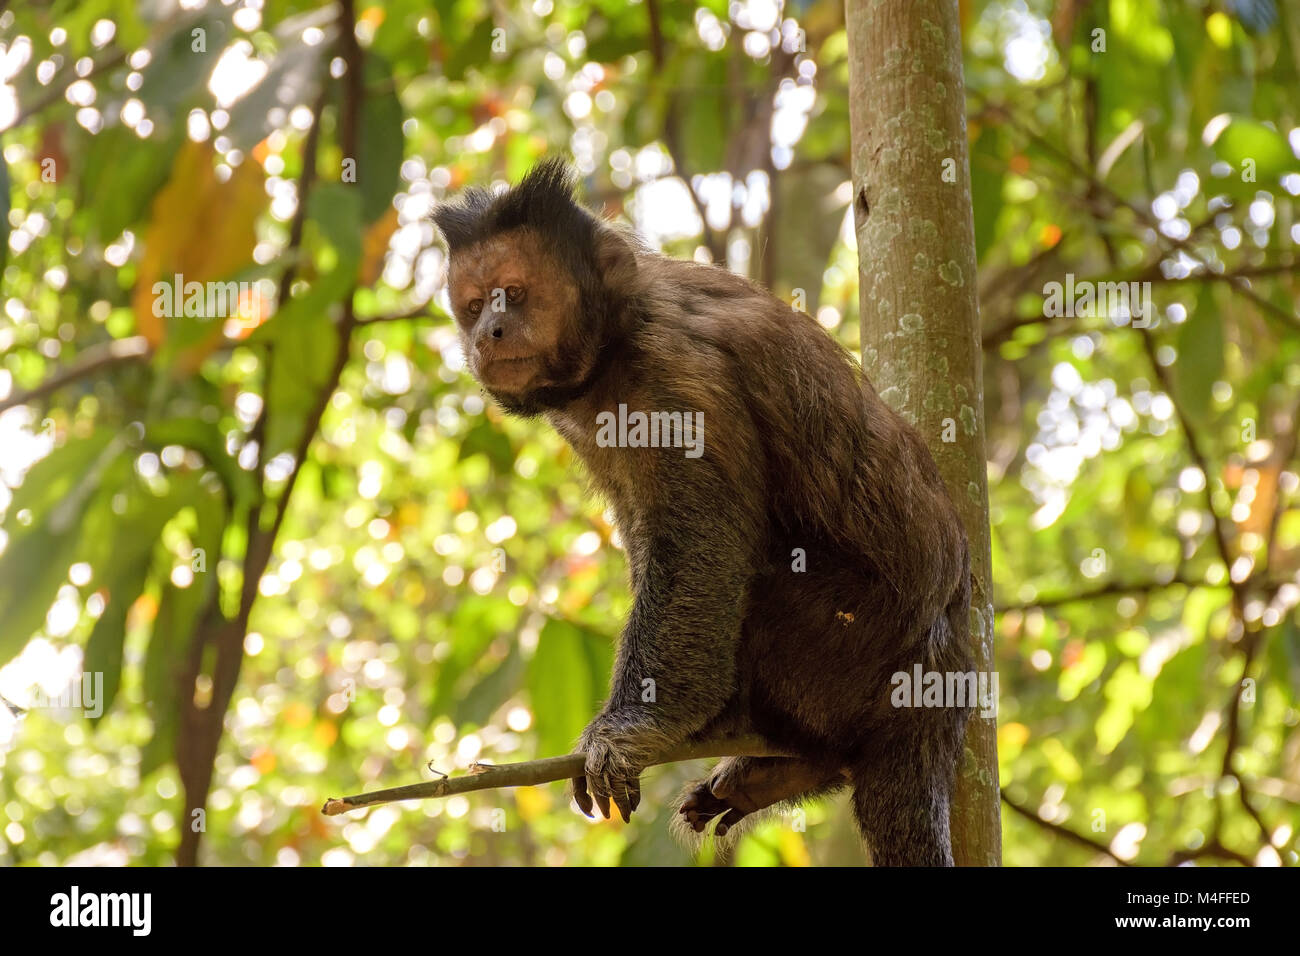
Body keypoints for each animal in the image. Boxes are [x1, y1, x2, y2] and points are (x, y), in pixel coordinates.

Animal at [432, 159, 974, 866]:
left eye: (515, 294)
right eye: (473, 305)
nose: (487, 332)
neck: (617, 340)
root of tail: (945, 672)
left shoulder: (676, 376)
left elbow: (698, 554)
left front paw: (628, 730)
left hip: (861, 643)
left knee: (765, 578)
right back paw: (787, 769)